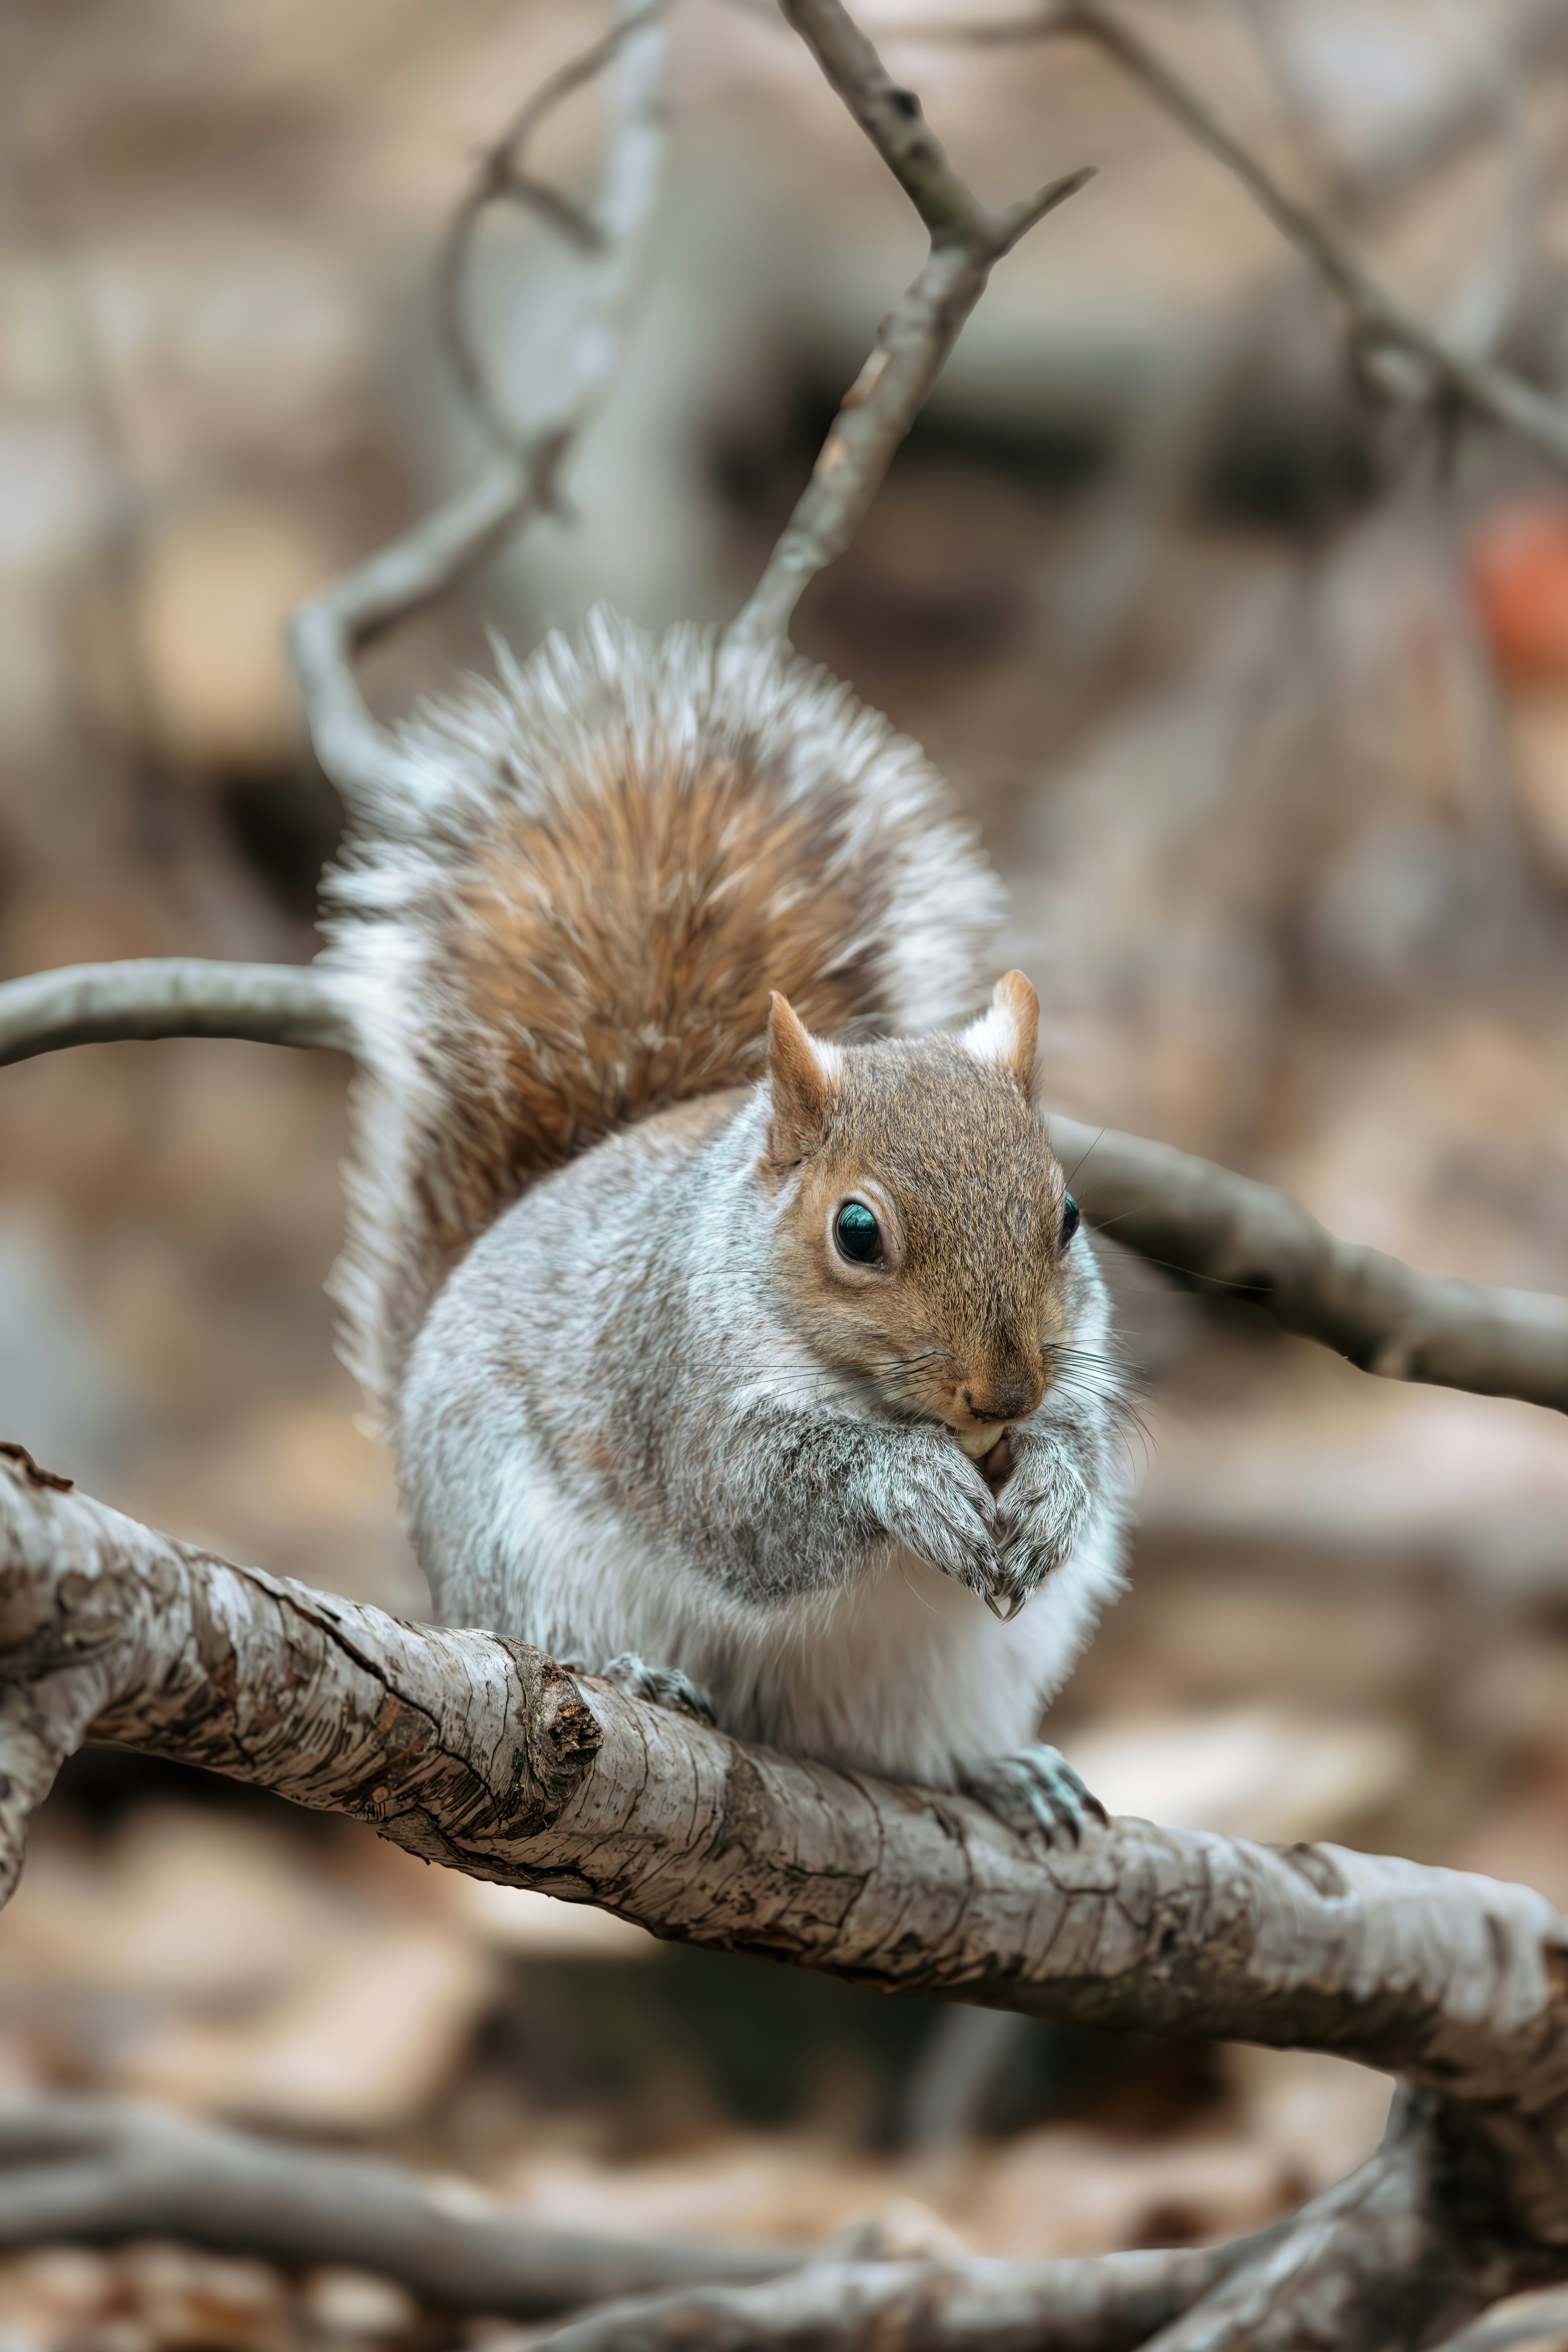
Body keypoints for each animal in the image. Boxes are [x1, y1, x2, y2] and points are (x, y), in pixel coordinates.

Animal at [324, 609, 1130, 1841]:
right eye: (857, 1233)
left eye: (1070, 1216)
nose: (1005, 1397)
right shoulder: (676, 1383)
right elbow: (749, 1500)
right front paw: (899, 1479)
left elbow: (1082, 1442)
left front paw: (1051, 1485)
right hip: (511, 1540)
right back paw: (630, 1673)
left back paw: (1000, 1771)